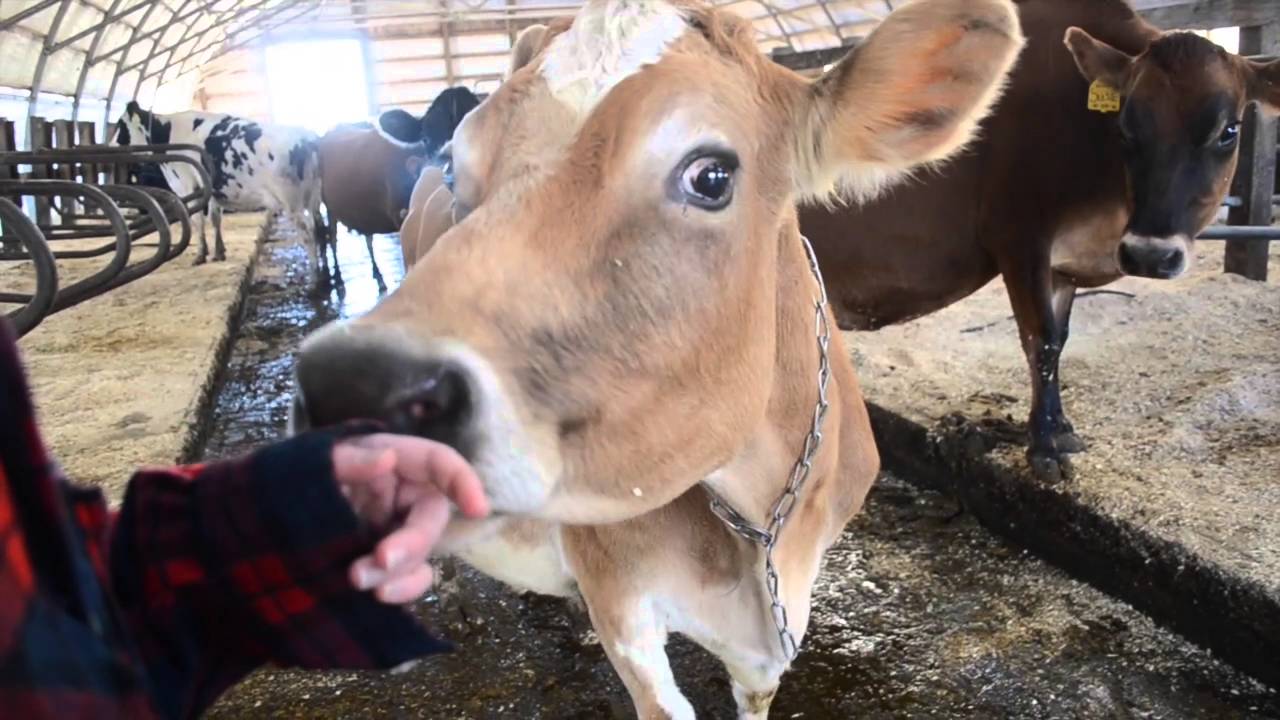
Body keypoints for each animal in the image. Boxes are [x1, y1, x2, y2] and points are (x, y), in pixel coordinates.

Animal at [112, 102, 327, 283]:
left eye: (120, 126)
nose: (111, 146)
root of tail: (307, 137)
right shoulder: (213, 191)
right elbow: (215, 219)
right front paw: (219, 252)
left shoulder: (188, 186)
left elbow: (198, 221)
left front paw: (201, 255)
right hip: (315, 198)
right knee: (320, 227)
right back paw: (325, 271)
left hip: (291, 201)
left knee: (308, 232)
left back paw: (314, 280)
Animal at [800, 0, 1280, 482]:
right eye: (1125, 125)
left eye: (1229, 130)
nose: (1150, 254)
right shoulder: (1019, 238)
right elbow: (1041, 339)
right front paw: (1044, 447)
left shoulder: (1062, 266)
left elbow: (1060, 339)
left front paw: (1061, 428)